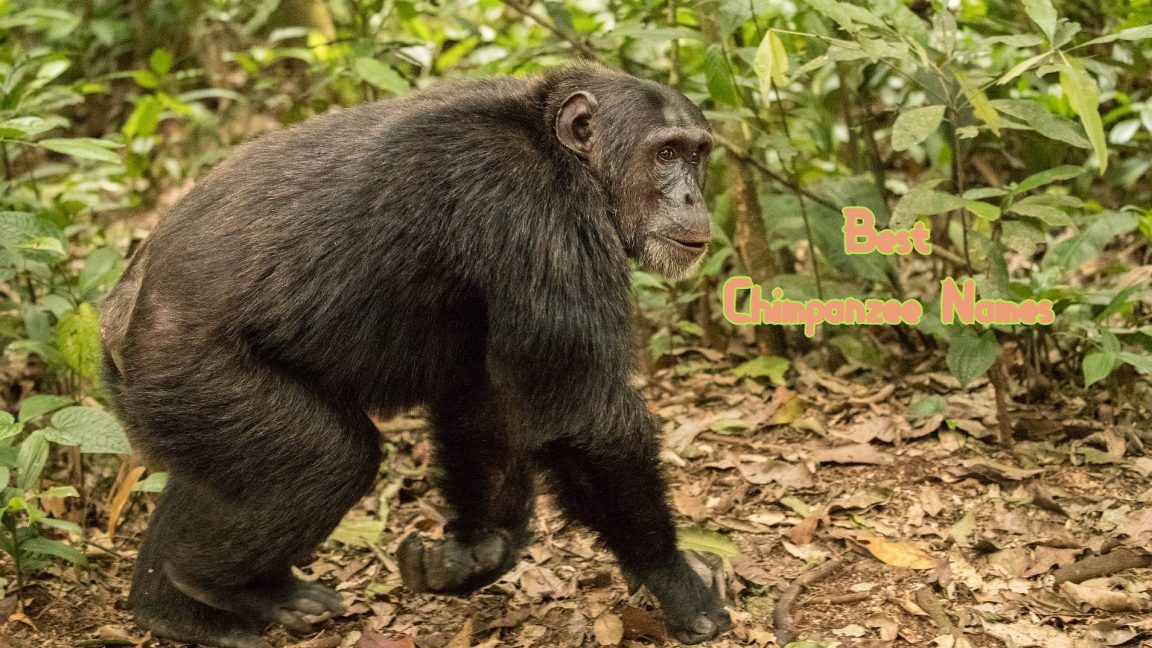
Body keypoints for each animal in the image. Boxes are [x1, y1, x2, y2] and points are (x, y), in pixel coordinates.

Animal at [101, 65, 730, 648]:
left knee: (215, 477)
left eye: (697, 153)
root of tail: (112, 316)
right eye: (665, 152)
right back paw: (229, 585)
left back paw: (177, 613)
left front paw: (473, 554)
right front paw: (678, 582)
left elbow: (485, 398)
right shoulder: (533, 213)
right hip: (194, 373)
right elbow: (586, 421)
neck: (564, 156)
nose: (691, 195)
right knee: (327, 458)